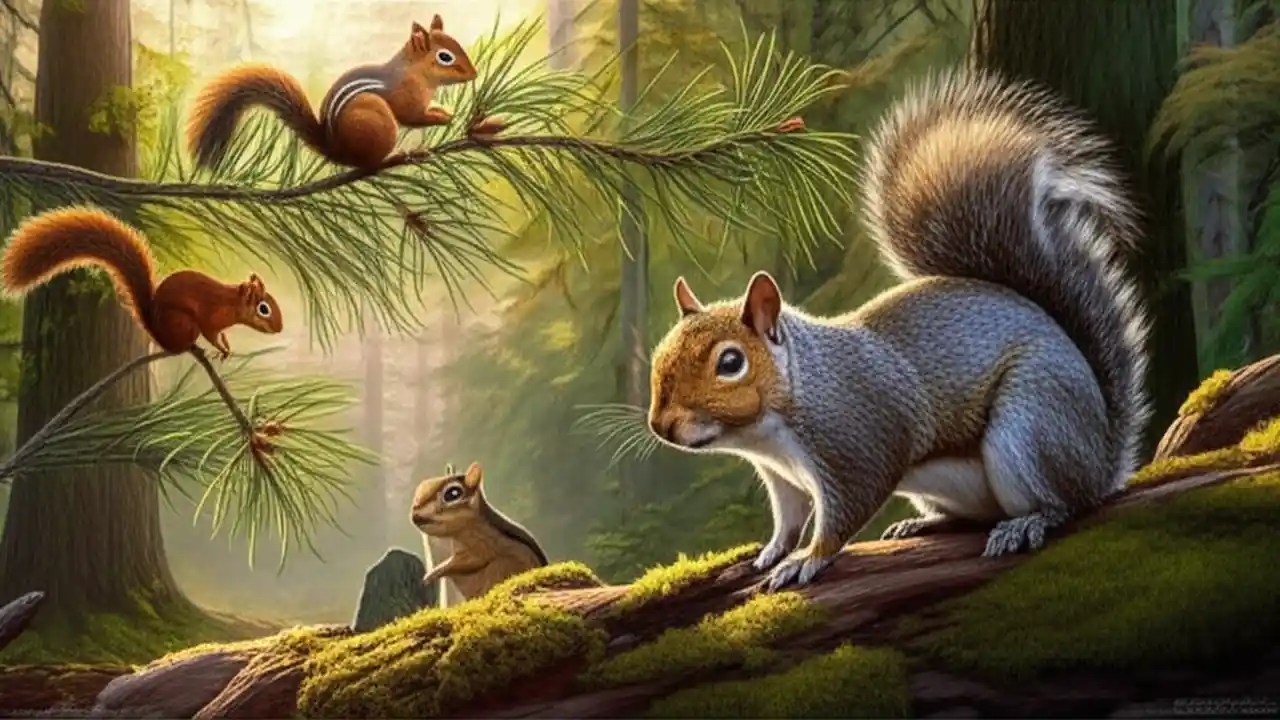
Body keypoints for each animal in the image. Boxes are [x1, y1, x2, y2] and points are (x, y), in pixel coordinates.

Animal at [0, 207, 283, 357]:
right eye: (264, 308)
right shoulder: (210, 316)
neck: (230, 301)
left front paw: (227, 347)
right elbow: (212, 334)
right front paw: (221, 350)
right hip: (183, 323)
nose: (279, 328)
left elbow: (222, 335)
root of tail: (157, 331)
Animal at [187, 14, 482, 172]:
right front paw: (443, 117)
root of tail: (336, 150)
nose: (475, 74)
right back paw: (400, 156)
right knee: (369, 164)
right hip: (376, 122)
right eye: (445, 57)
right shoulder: (403, 97)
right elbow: (411, 116)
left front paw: (443, 110)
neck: (414, 73)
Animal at [647, 70, 1149, 591]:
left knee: (1065, 502)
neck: (775, 423)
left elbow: (843, 513)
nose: (661, 425)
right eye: (659, 355)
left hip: (1031, 427)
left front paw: (807, 559)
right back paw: (925, 523)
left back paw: (1028, 521)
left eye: (730, 362)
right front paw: (772, 551)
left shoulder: (859, 441)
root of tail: (1102, 460)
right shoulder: (783, 480)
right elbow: (789, 518)